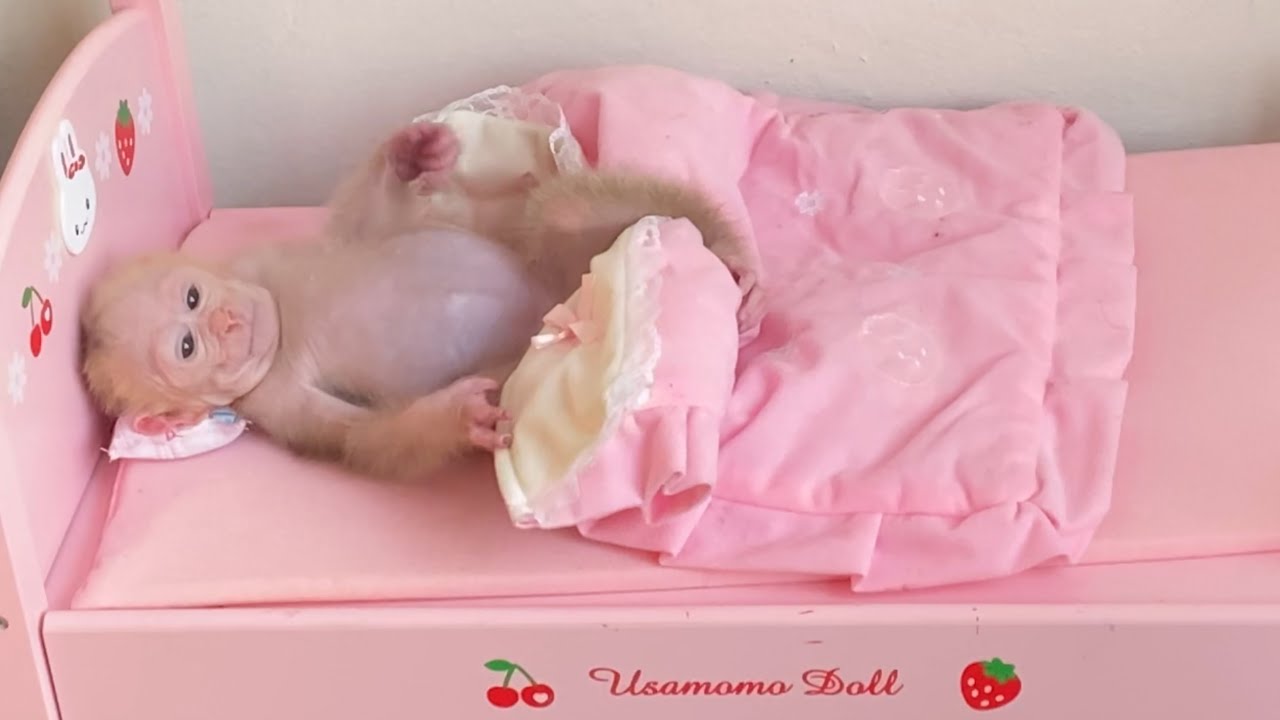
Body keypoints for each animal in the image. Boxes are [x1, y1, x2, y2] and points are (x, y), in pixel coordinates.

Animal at [80, 121, 763, 481]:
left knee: (564, 210)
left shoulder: (259, 264)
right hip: (524, 349)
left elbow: (369, 228)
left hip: (546, 250)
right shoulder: (271, 405)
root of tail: (558, 296)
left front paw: (412, 158)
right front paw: (457, 417)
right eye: (187, 346)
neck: (275, 323)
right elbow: (361, 437)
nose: (226, 322)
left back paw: (726, 252)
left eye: (194, 296)